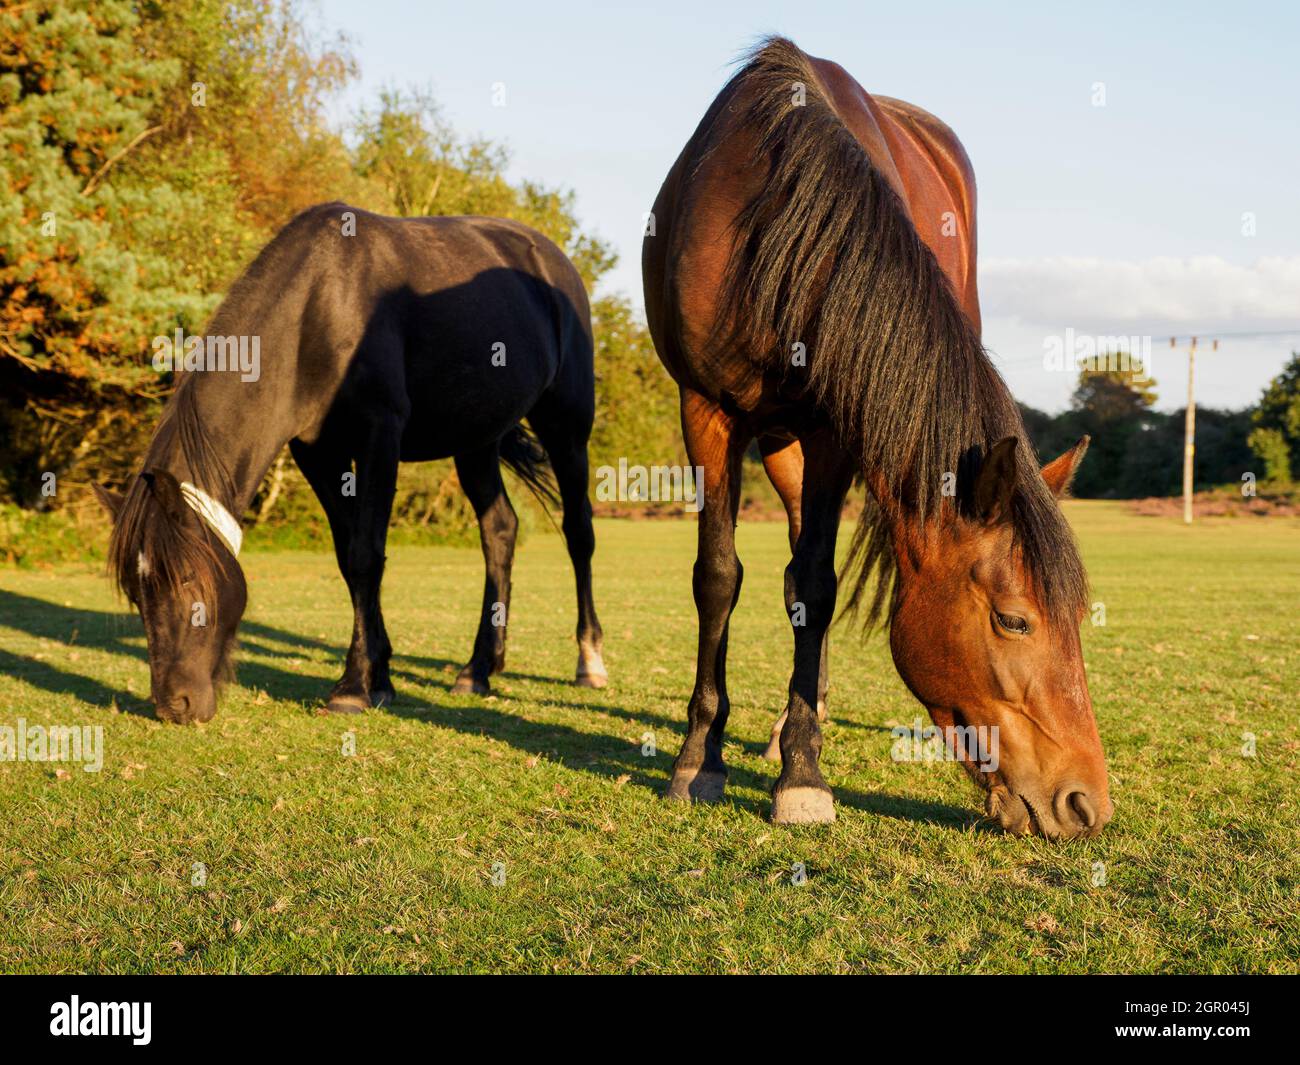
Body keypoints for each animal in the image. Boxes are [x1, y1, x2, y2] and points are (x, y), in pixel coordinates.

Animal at [94, 204, 607, 723]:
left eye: (184, 580)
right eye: (136, 592)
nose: (173, 704)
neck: (319, 308)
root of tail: (551, 260)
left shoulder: (379, 435)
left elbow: (365, 556)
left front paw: (354, 686)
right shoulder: (318, 453)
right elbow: (347, 558)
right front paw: (379, 675)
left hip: (566, 424)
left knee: (578, 533)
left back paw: (589, 660)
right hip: (476, 440)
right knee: (499, 529)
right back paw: (479, 667)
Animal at [642, 37, 1111, 838]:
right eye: (1014, 620)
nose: (1087, 802)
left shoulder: (837, 427)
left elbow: (818, 585)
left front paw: (802, 772)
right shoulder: (705, 410)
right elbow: (720, 578)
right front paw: (699, 758)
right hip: (780, 441)